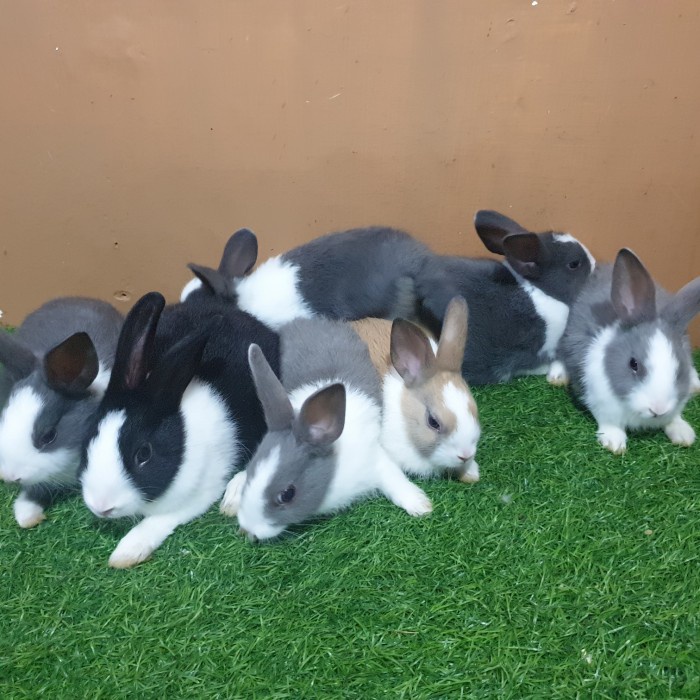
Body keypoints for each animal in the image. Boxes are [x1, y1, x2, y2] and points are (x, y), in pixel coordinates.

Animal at [79, 291, 280, 567]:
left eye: (144, 454)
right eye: (91, 434)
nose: (100, 507)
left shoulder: (199, 493)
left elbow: (159, 520)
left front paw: (125, 553)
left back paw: (234, 496)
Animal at [219, 317, 433, 541]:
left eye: (287, 494)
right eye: (252, 470)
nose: (248, 528)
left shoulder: (374, 459)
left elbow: (395, 480)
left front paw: (420, 505)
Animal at [559, 247, 700, 454]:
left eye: (680, 367)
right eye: (633, 364)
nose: (658, 409)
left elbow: (674, 418)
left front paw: (684, 435)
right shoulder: (599, 401)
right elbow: (610, 424)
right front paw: (614, 444)